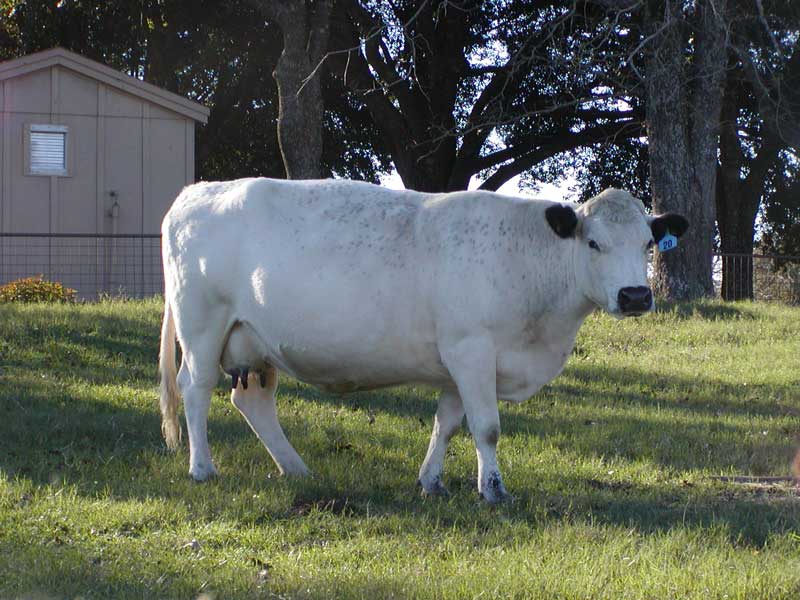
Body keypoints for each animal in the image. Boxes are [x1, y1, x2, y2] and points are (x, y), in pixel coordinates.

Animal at [158, 178, 688, 503]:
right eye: (594, 243)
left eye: (647, 244)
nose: (636, 295)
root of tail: (198, 190)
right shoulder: (472, 348)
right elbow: (487, 427)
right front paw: (494, 489)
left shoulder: (459, 361)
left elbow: (448, 424)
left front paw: (432, 481)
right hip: (203, 325)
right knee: (196, 390)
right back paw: (203, 468)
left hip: (256, 342)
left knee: (252, 401)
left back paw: (296, 469)